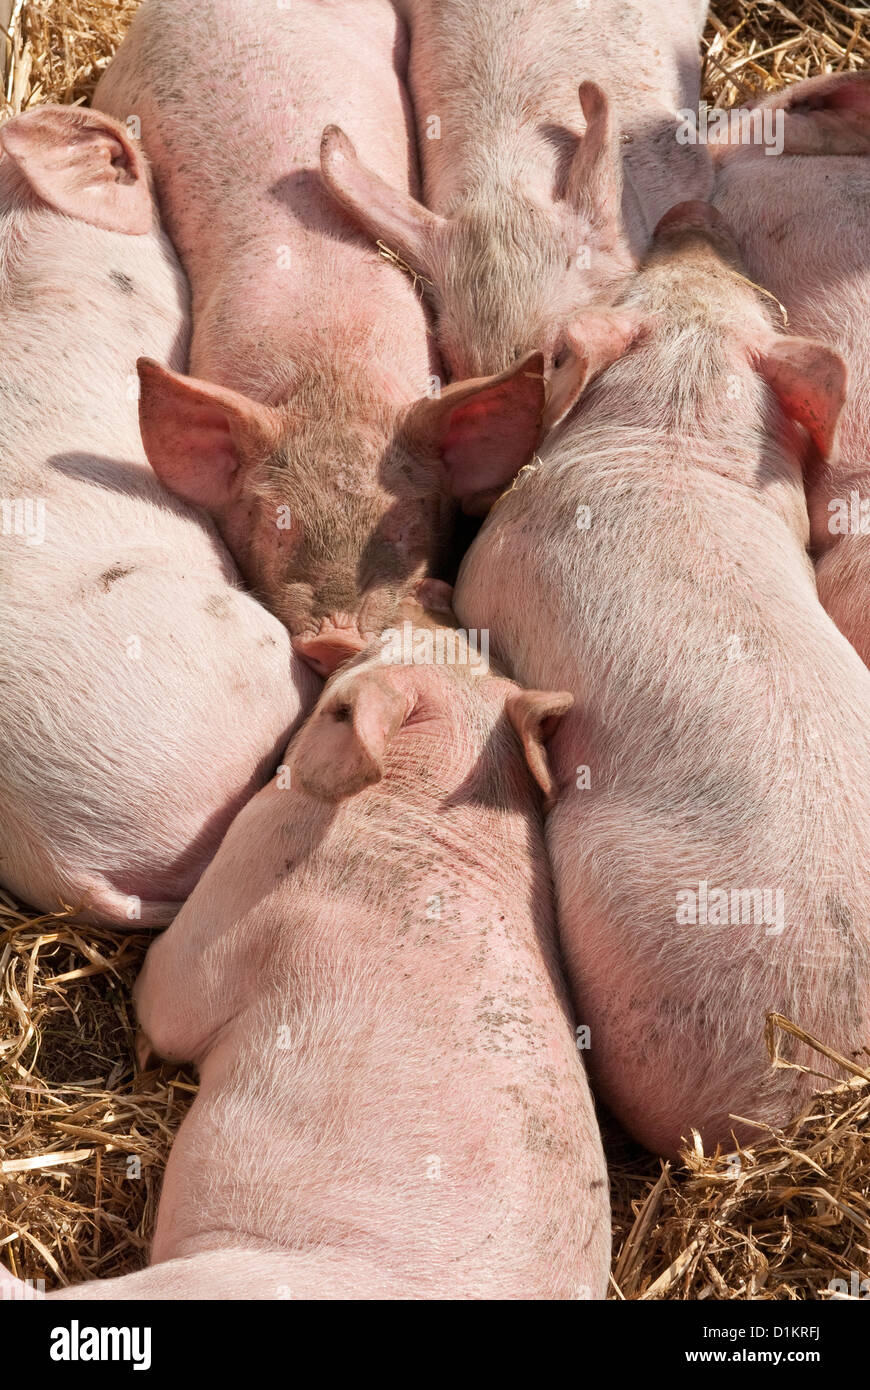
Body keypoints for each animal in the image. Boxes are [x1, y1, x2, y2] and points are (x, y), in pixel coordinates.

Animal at [453, 200, 870, 1158]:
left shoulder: (491, 560)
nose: (690, 213)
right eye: (761, 299)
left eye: (623, 291)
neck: (677, 431)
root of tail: (815, 1078)